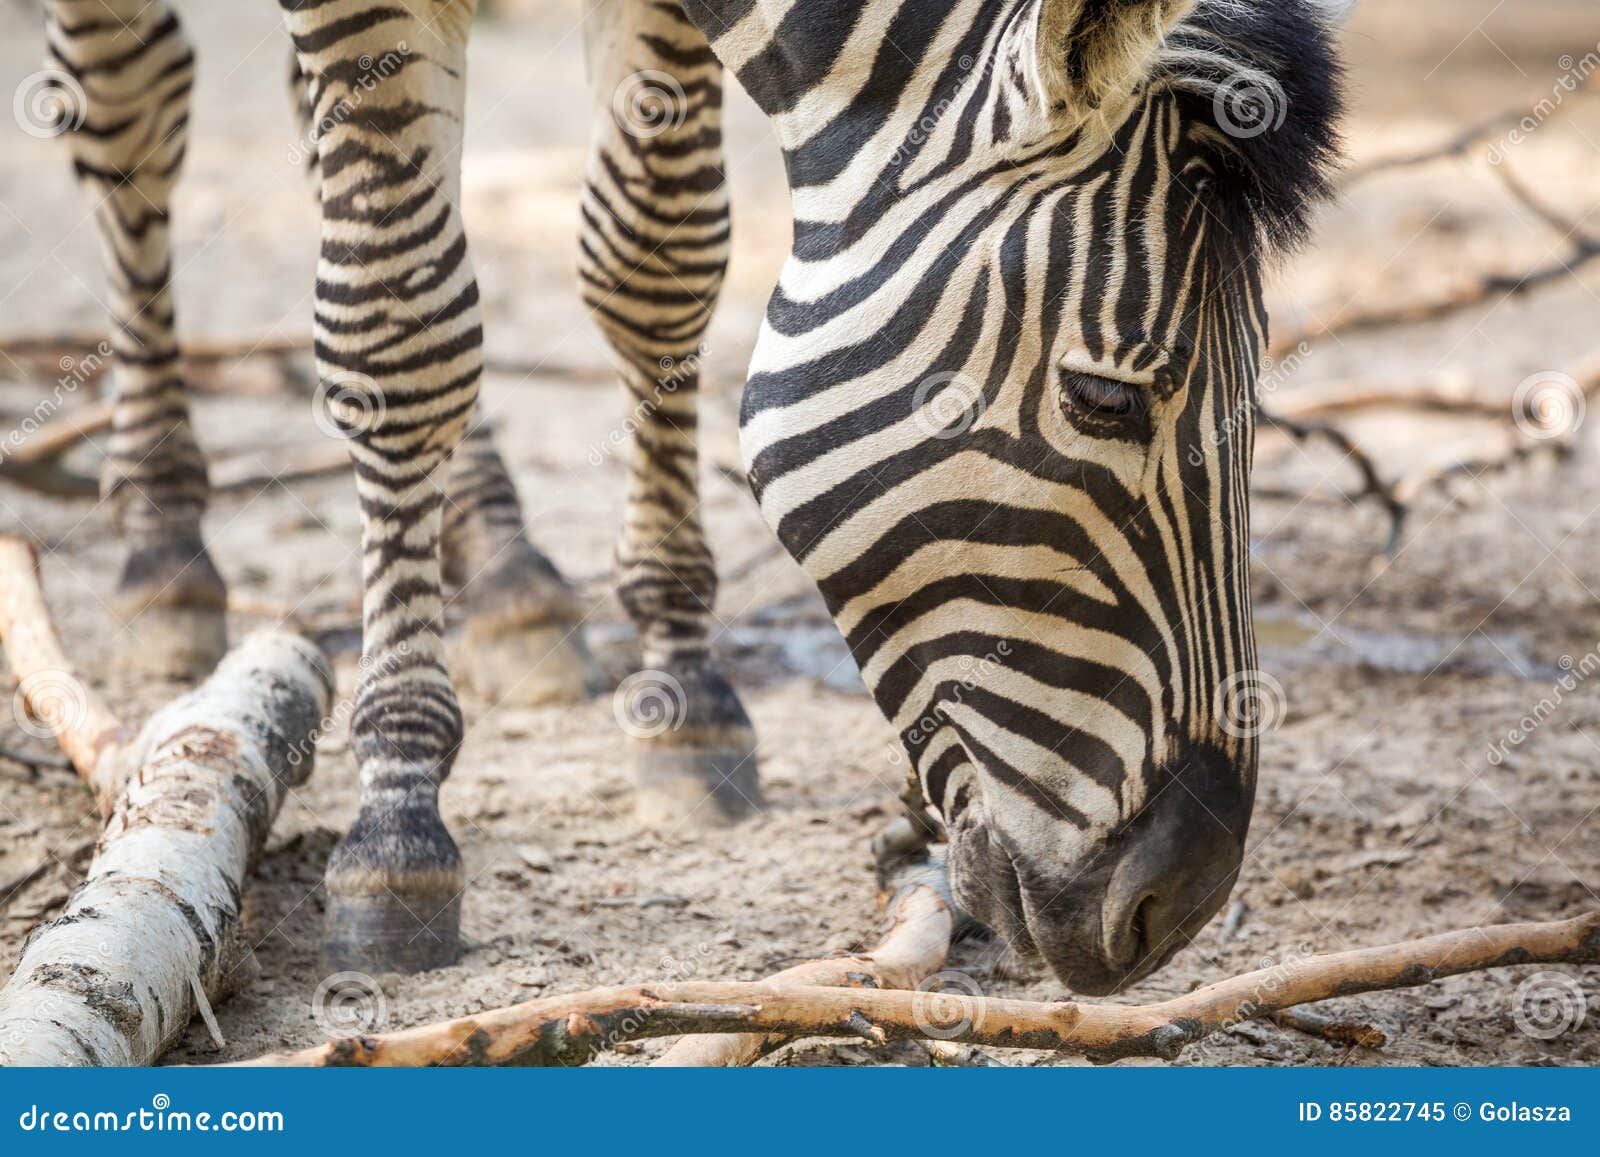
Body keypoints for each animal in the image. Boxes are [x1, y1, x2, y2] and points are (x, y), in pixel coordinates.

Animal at [23, 0, 1346, 991]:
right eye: (1103, 398)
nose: (1186, 897)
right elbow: (400, 324)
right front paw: (397, 804)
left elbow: (651, 257)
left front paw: (682, 684)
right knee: (136, 105)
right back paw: (164, 551)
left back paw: (503, 570)